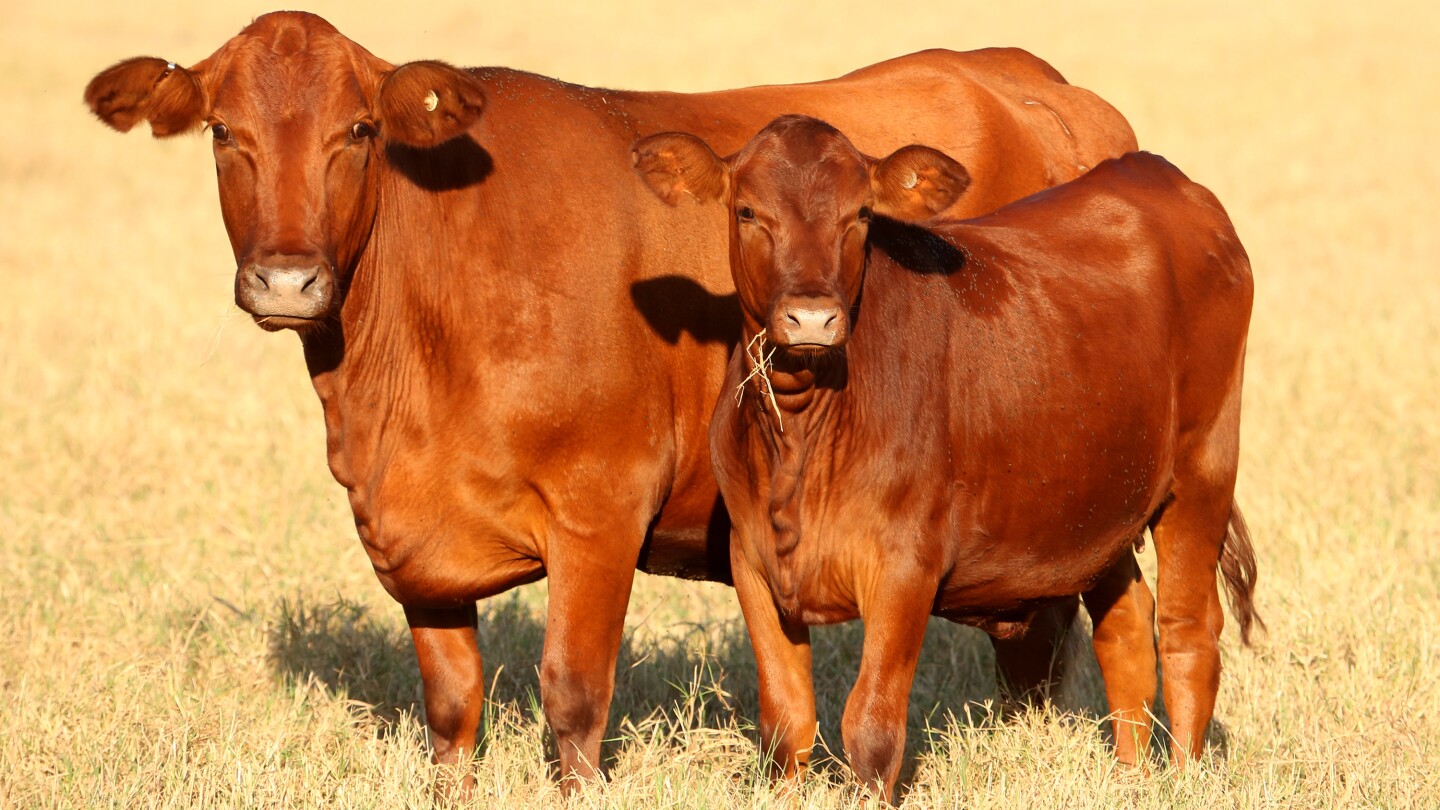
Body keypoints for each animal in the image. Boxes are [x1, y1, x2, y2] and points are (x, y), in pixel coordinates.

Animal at [83, 11, 1137, 790]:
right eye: (226, 132)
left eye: (358, 131)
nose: (287, 281)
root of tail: (1033, 84)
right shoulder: (415, 537)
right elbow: (451, 708)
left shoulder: (602, 506)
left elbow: (574, 695)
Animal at [632, 116, 1260, 800]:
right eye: (747, 210)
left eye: (861, 213)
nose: (813, 318)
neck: (803, 432)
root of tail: (1158, 175)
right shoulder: (752, 560)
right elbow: (786, 725)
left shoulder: (907, 565)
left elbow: (872, 729)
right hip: (1096, 498)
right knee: (1126, 629)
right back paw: (1128, 778)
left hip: (1202, 472)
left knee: (1187, 633)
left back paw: (1181, 777)